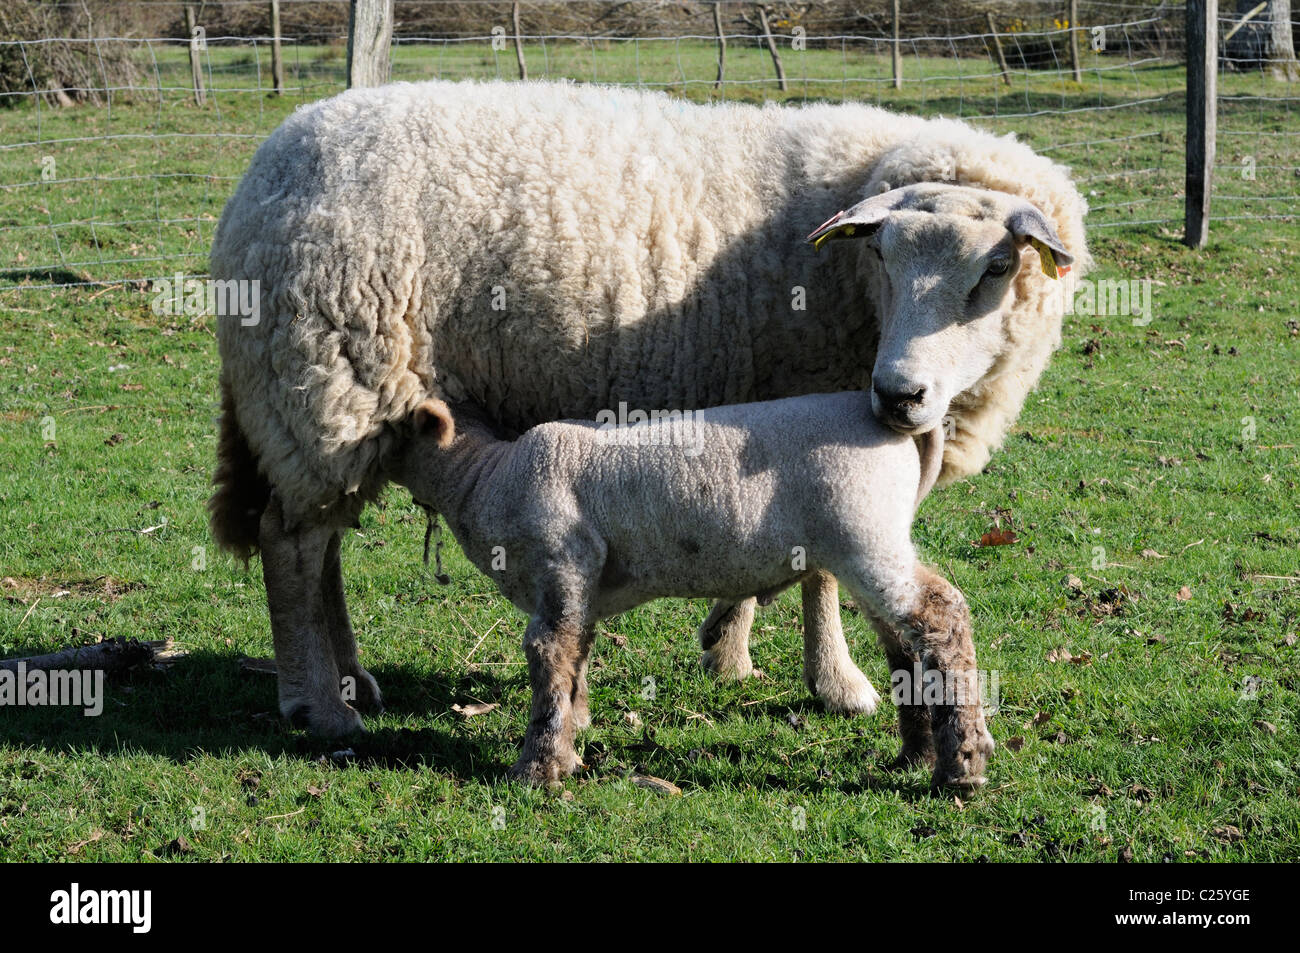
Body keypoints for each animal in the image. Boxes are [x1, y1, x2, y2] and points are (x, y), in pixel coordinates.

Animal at [208, 79, 1086, 738]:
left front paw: (728, 645)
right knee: (292, 545)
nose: (900, 393)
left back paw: (350, 677)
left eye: (998, 267)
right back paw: (317, 704)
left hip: (334, 406)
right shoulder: (821, 408)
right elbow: (823, 571)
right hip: (331, 383)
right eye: (882, 254)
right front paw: (837, 681)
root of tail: (267, 166)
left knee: (321, 544)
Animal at [387, 392, 993, 788]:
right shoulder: (578, 587)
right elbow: (576, 656)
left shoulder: (562, 560)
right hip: (872, 543)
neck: (484, 477)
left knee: (943, 616)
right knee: (904, 642)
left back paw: (961, 765)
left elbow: (549, 657)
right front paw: (571, 743)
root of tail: (898, 426)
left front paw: (536, 769)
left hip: (864, 535)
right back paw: (916, 754)